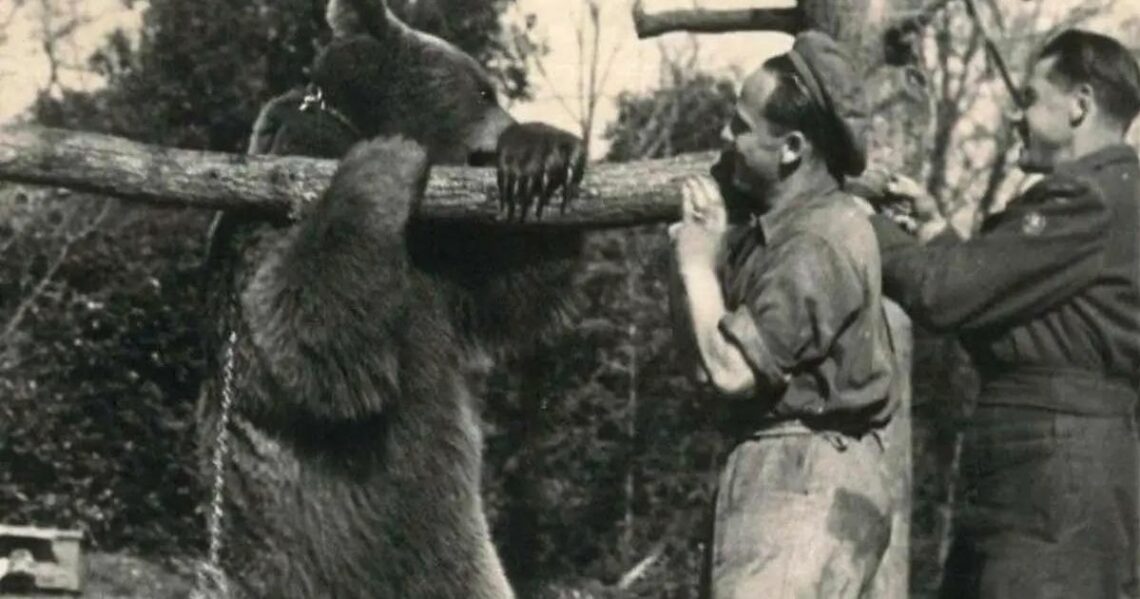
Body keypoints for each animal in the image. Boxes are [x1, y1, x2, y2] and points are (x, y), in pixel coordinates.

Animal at [197, 0, 587, 596]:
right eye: (482, 90)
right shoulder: (278, 193)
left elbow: (511, 290)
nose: (505, 129)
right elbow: (296, 326)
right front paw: (386, 162)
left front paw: (542, 154)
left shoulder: (440, 272)